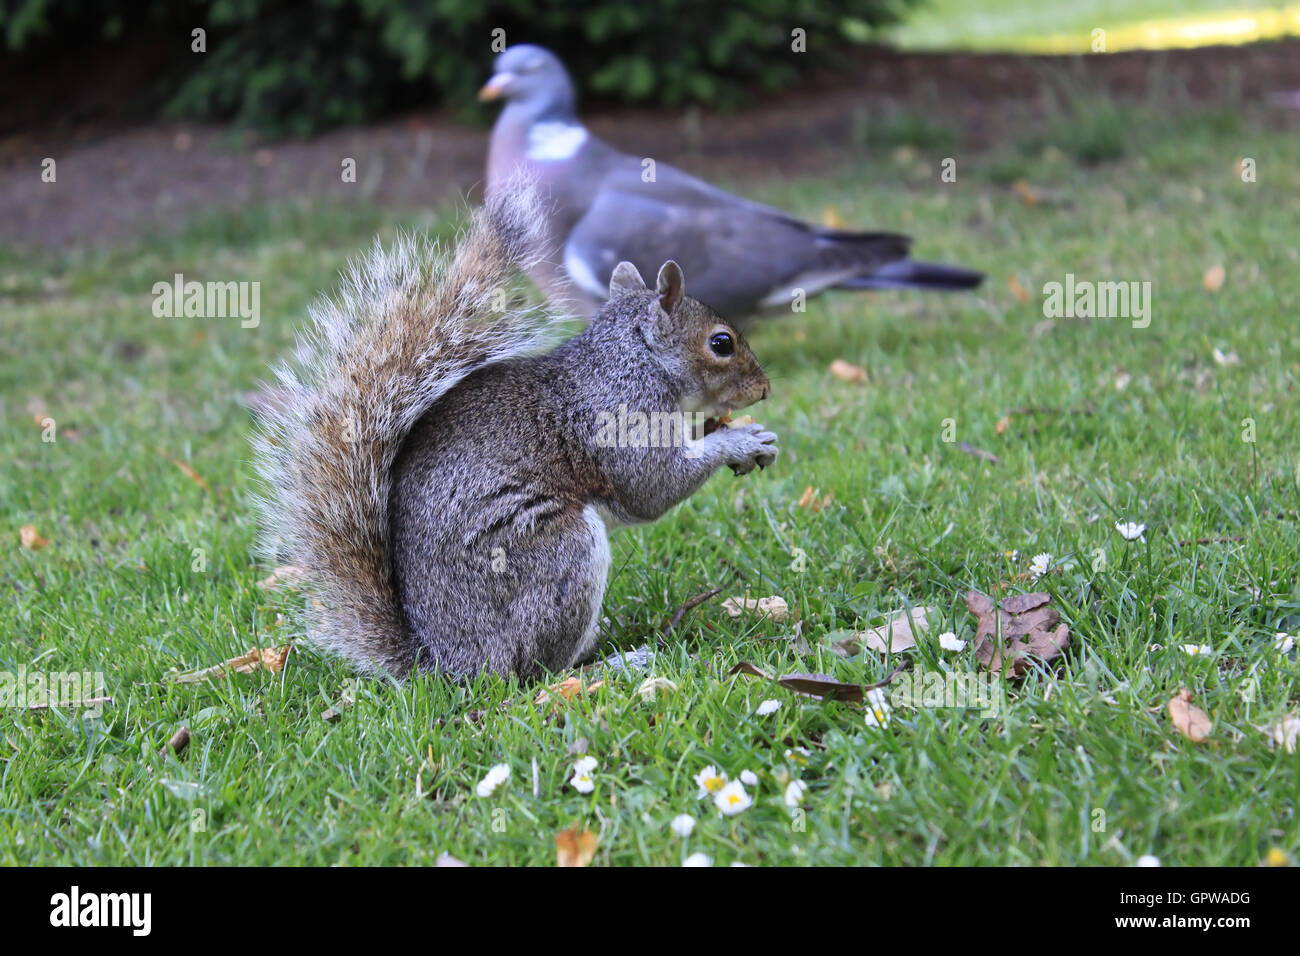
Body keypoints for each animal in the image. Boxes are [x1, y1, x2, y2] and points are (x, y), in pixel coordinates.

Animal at [253, 184, 778, 682]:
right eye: (721, 343)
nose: (765, 389)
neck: (634, 358)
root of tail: (446, 665)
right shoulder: (622, 414)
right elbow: (651, 486)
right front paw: (738, 441)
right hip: (553, 553)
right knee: (536, 673)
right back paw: (614, 663)